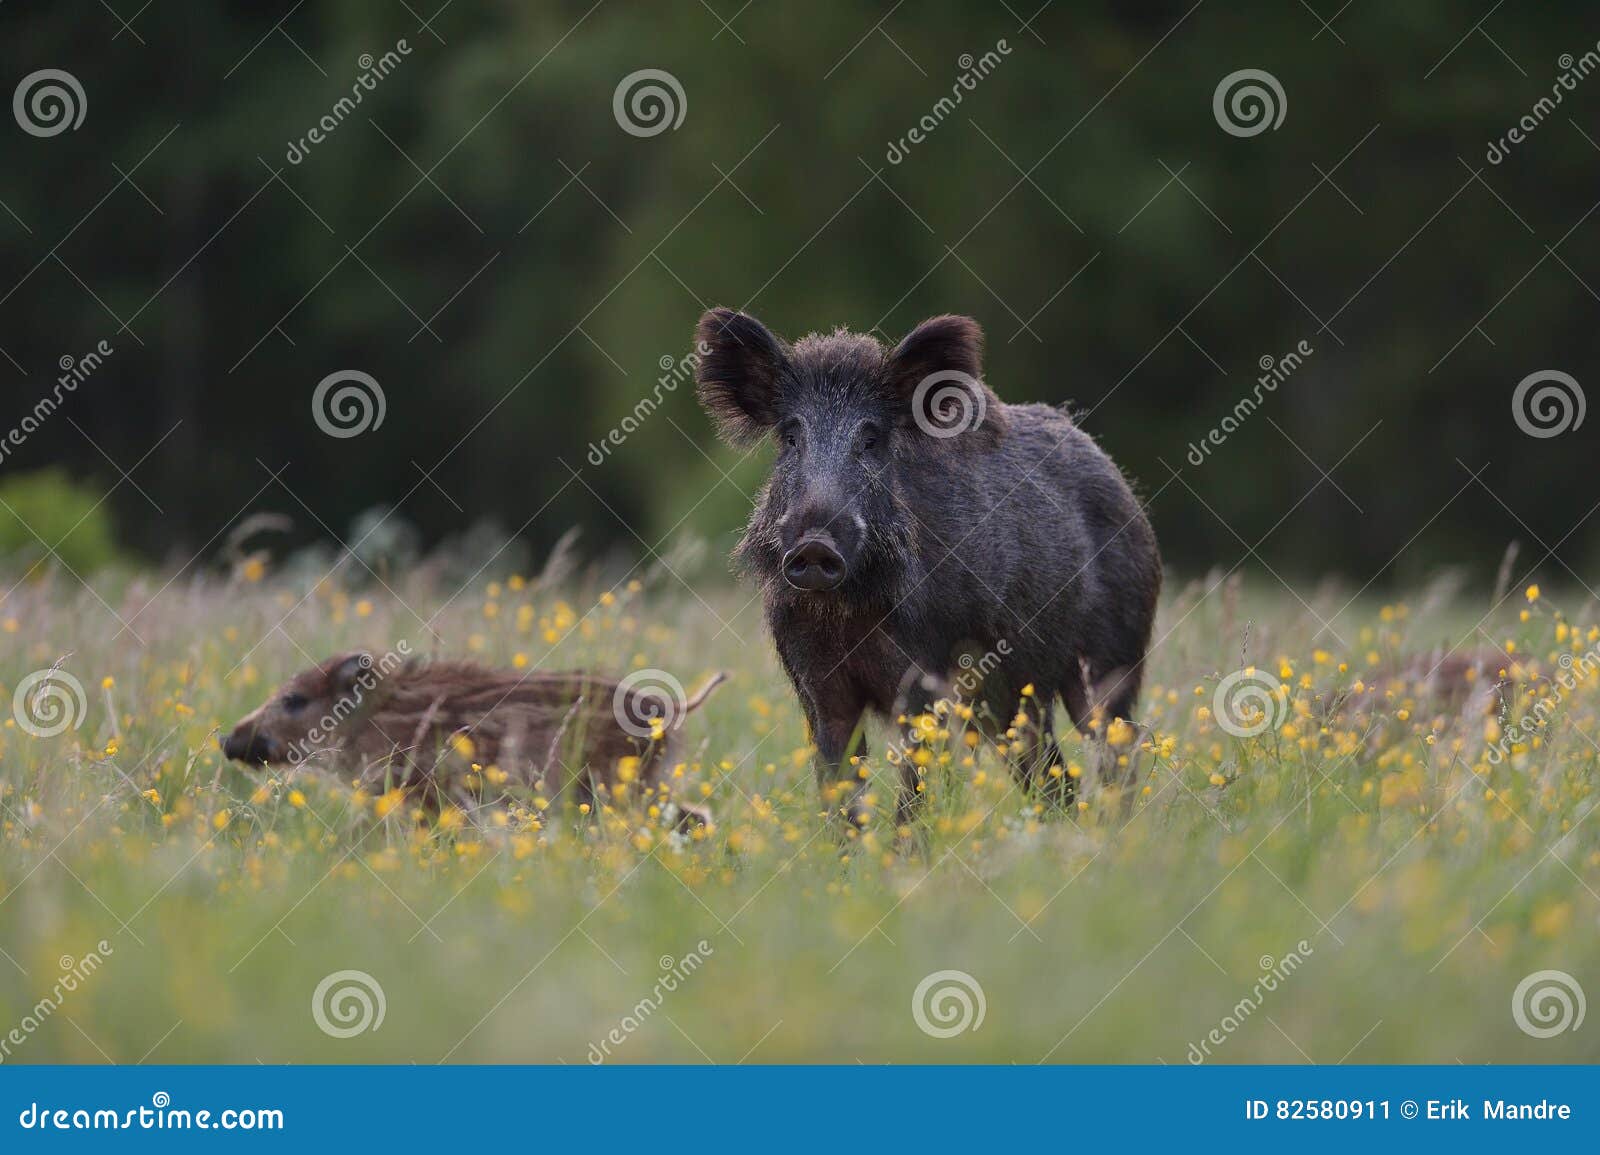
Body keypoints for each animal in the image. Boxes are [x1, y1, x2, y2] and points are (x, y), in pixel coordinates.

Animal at [221, 651, 724, 824]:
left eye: (294, 700)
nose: (227, 740)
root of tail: (672, 708)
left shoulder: (420, 795)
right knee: (694, 817)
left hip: (616, 789)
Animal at [695, 308, 1160, 828]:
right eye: (791, 437)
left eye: (870, 439)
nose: (815, 545)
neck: (846, 614)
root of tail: (1120, 480)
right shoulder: (817, 686)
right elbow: (839, 788)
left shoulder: (923, 679)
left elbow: (914, 784)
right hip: (1013, 698)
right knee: (1051, 773)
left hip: (1113, 652)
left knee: (1118, 747)